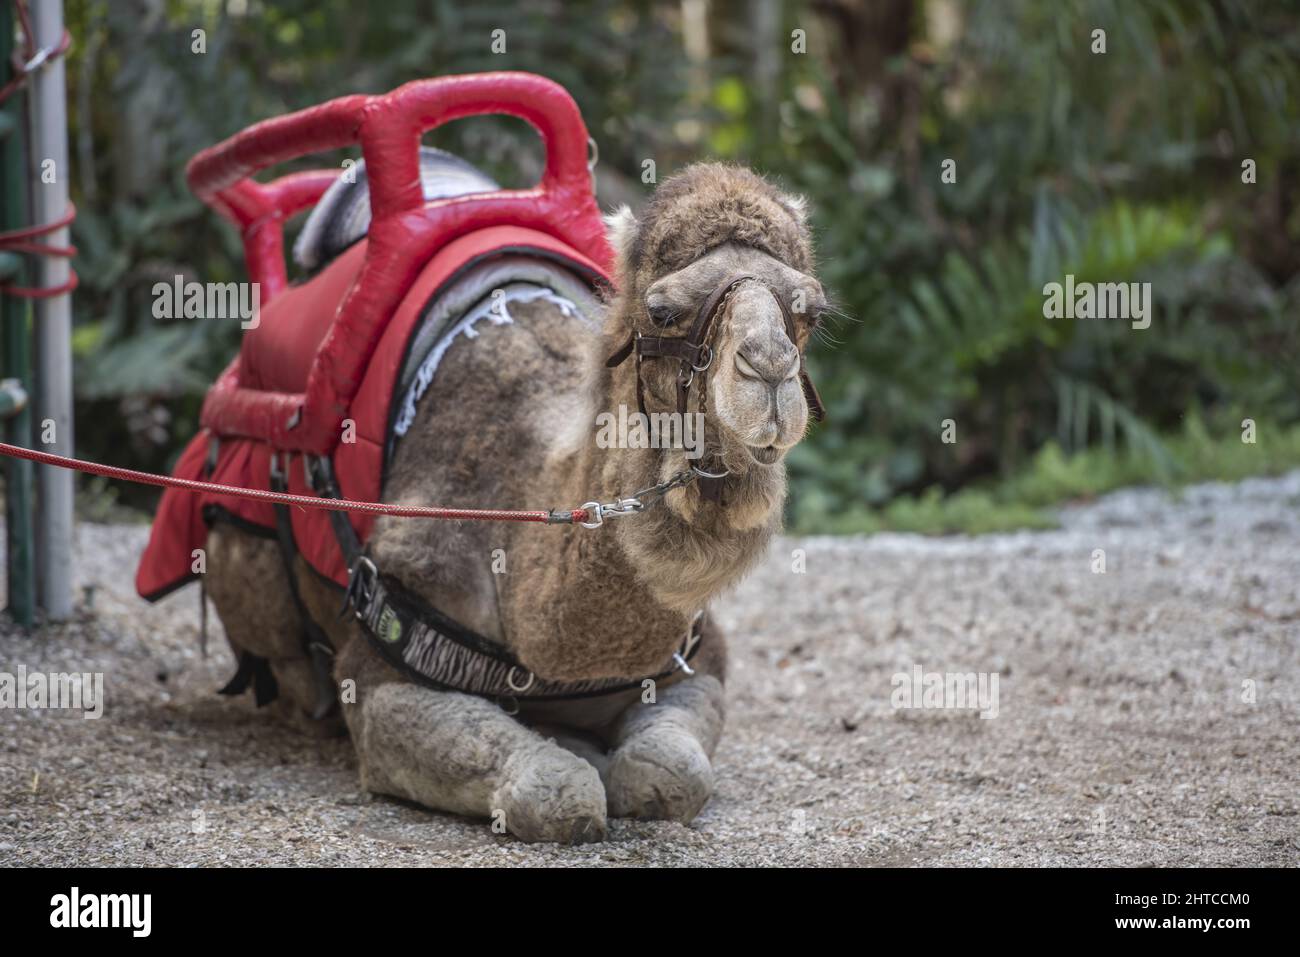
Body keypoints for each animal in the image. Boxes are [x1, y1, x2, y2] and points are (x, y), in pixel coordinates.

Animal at [202, 162, 827, 843]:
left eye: (812, 310)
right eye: (661, 310)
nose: (769, 369)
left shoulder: (698, 657)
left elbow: (670, 776)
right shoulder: (379, 662)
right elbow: (557, 793)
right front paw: (571, 754)